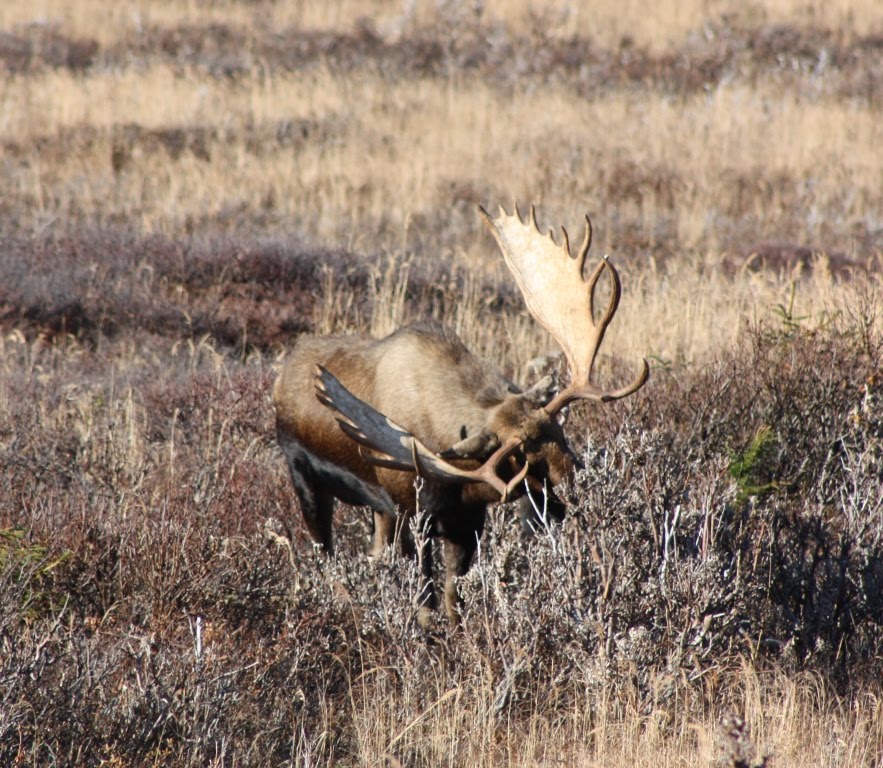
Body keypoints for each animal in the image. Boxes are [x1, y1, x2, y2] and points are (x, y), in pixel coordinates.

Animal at [273, 204, 648, 625]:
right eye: (522, 457)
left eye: (561, 434)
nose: (576, 493)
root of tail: (282, 375)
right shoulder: (412, 514)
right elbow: (425, 602)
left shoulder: (465, 520)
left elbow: (454, 600)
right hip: (305, 479)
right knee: (325, 557)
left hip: (376, 510)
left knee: (370, 553)